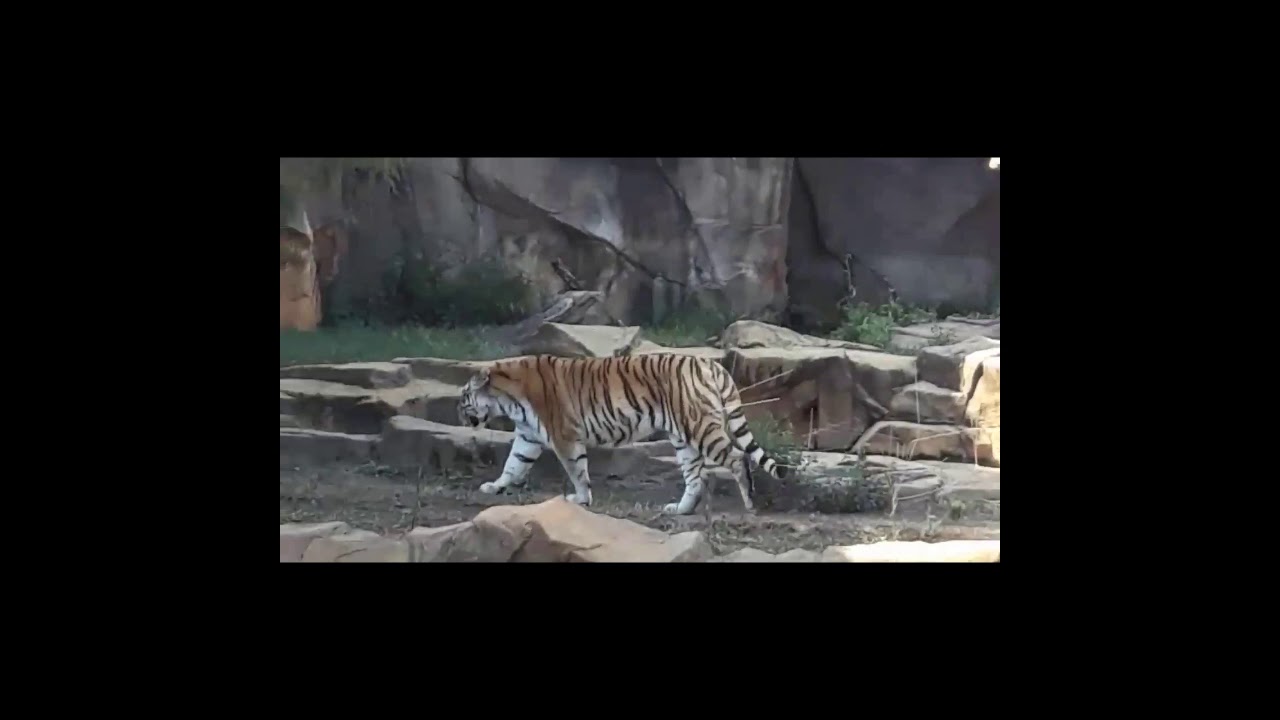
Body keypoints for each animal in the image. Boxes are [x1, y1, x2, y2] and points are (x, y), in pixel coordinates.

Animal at [455, 354, 788, 515]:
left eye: (463, 397)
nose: (458, 412)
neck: (507, 397)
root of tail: (711, 364)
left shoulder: (563, 435)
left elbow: (577, 470)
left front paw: (580, 499)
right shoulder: (529, 436)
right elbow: (513, 464)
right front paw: (494, 487)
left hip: (700, 427)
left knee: (737, 457)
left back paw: (749, 503)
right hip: (684, 438)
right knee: (696, 477)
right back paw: (680, 510)